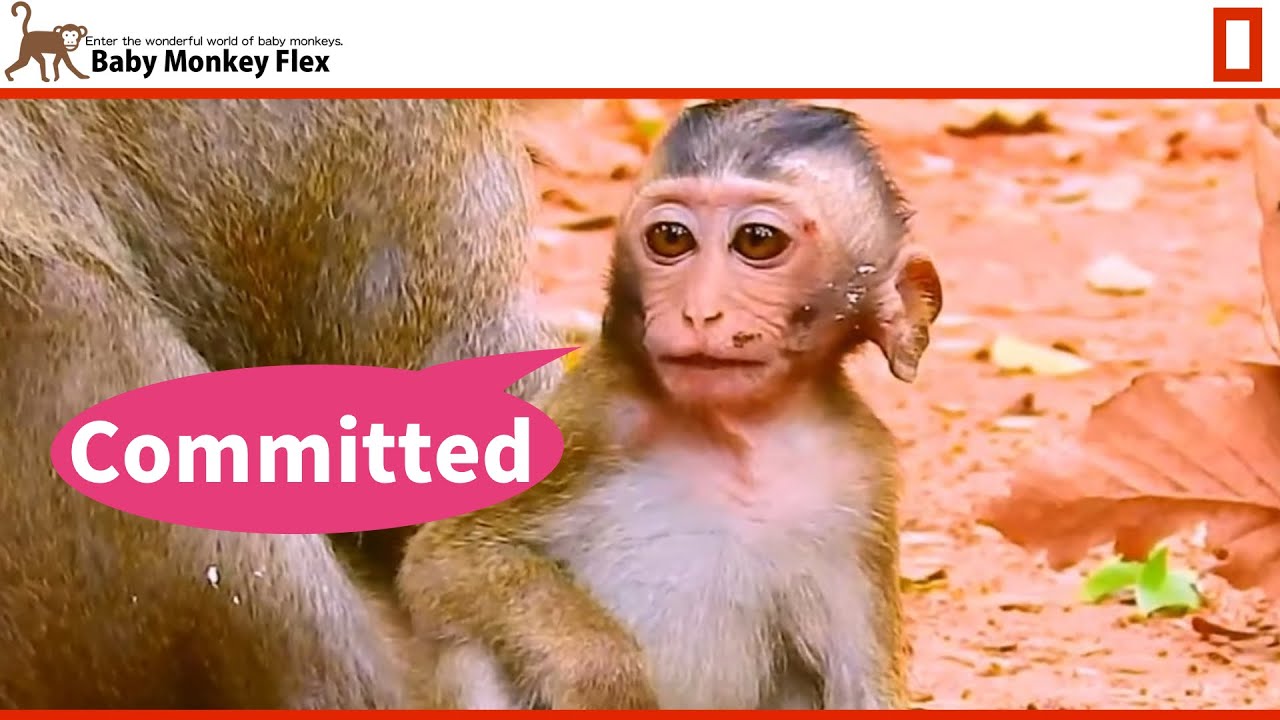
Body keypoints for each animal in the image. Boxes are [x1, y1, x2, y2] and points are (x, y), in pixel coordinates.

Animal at [399, 99, 943, 710]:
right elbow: (448, 557)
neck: (739, 438)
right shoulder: (594, 416)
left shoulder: (861, 480)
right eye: (670, 238)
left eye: (757, 240)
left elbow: (862, 689)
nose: (699, 312)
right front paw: (604, 678)